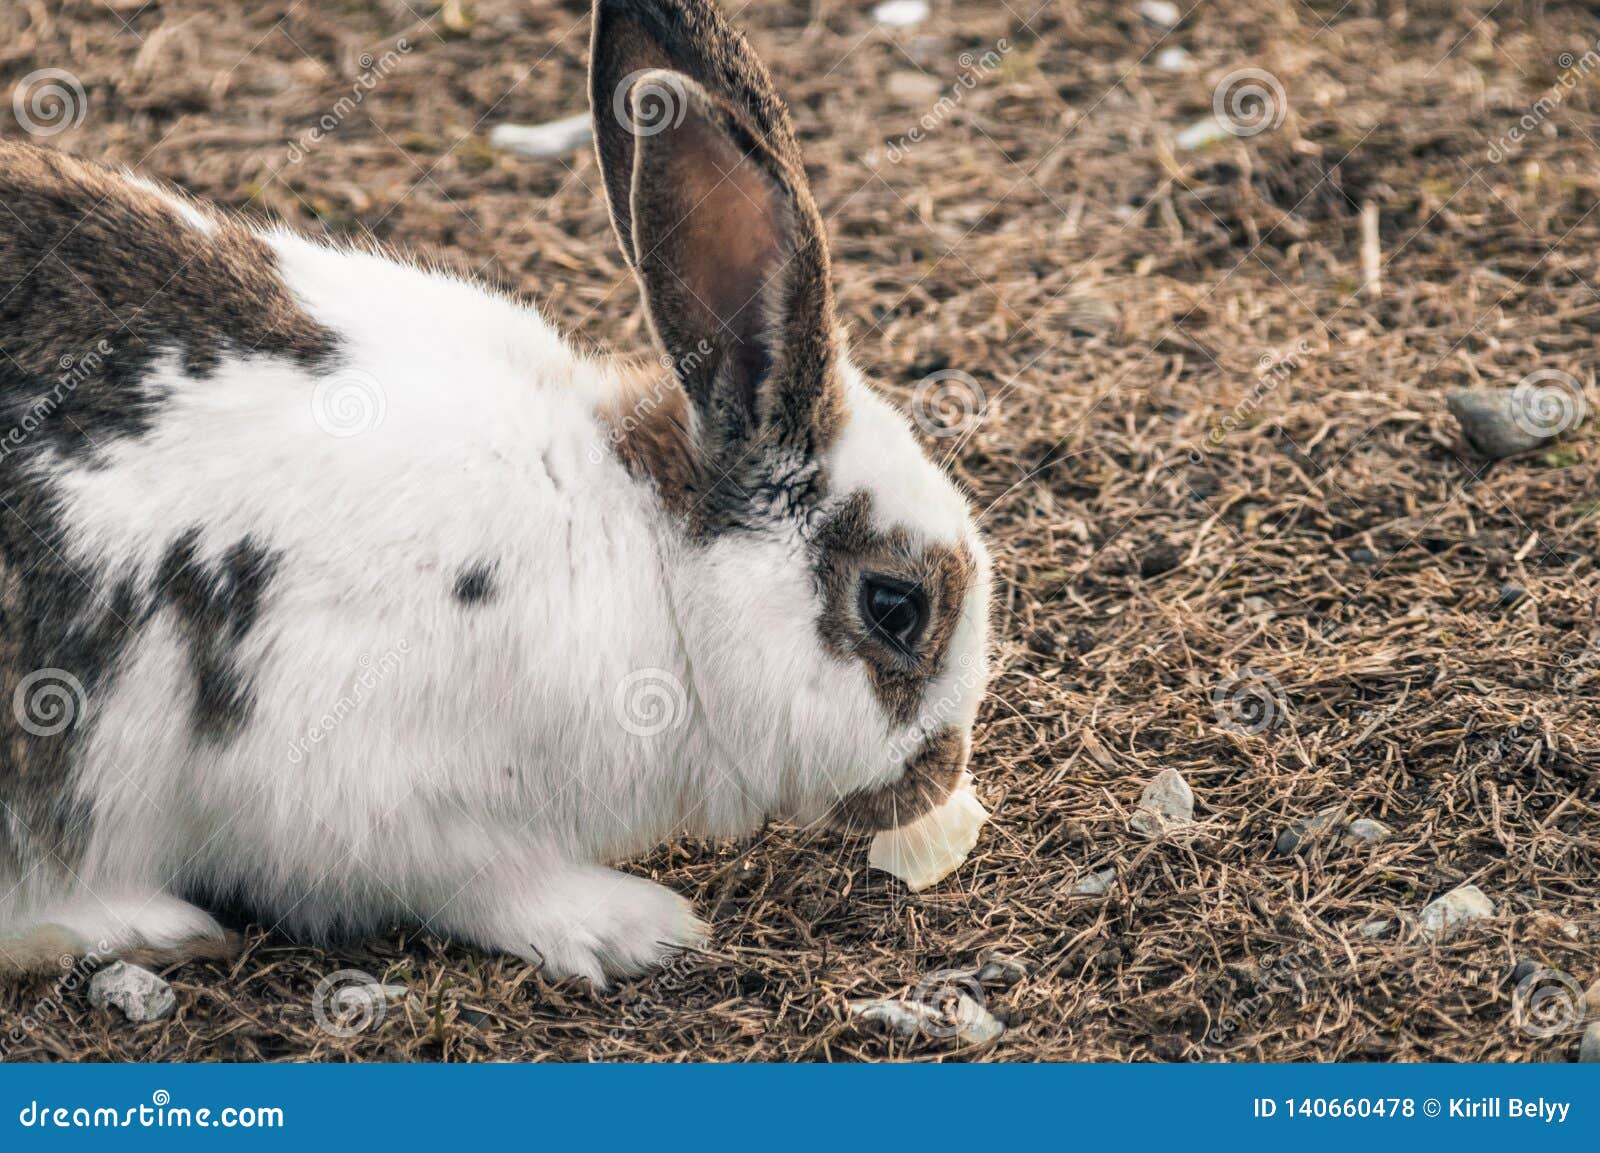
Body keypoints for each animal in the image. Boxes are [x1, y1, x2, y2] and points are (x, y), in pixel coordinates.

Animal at [0, 0, 991, 986]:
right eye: (896, 606)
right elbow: (479, 873)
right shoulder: (356, 777)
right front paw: (629, 924)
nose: (944, 770)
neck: (647, 555)